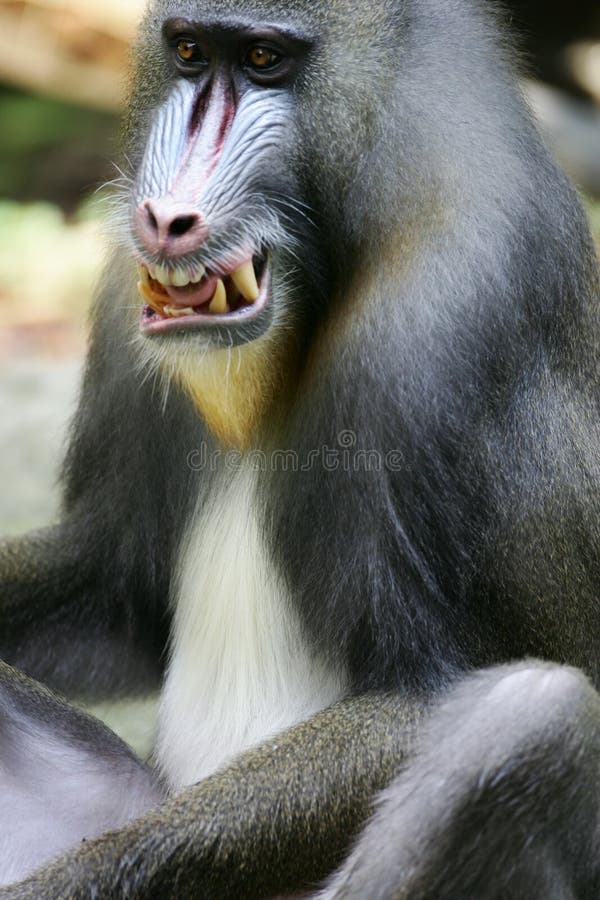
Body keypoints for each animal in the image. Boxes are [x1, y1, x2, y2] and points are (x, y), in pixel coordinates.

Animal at [0, 0, 599, 896]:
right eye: (189, 52)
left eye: (262, 60)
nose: (166, 218)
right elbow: (118, 596)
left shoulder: (444, 317)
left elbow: (421, 699)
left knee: (535, 714)